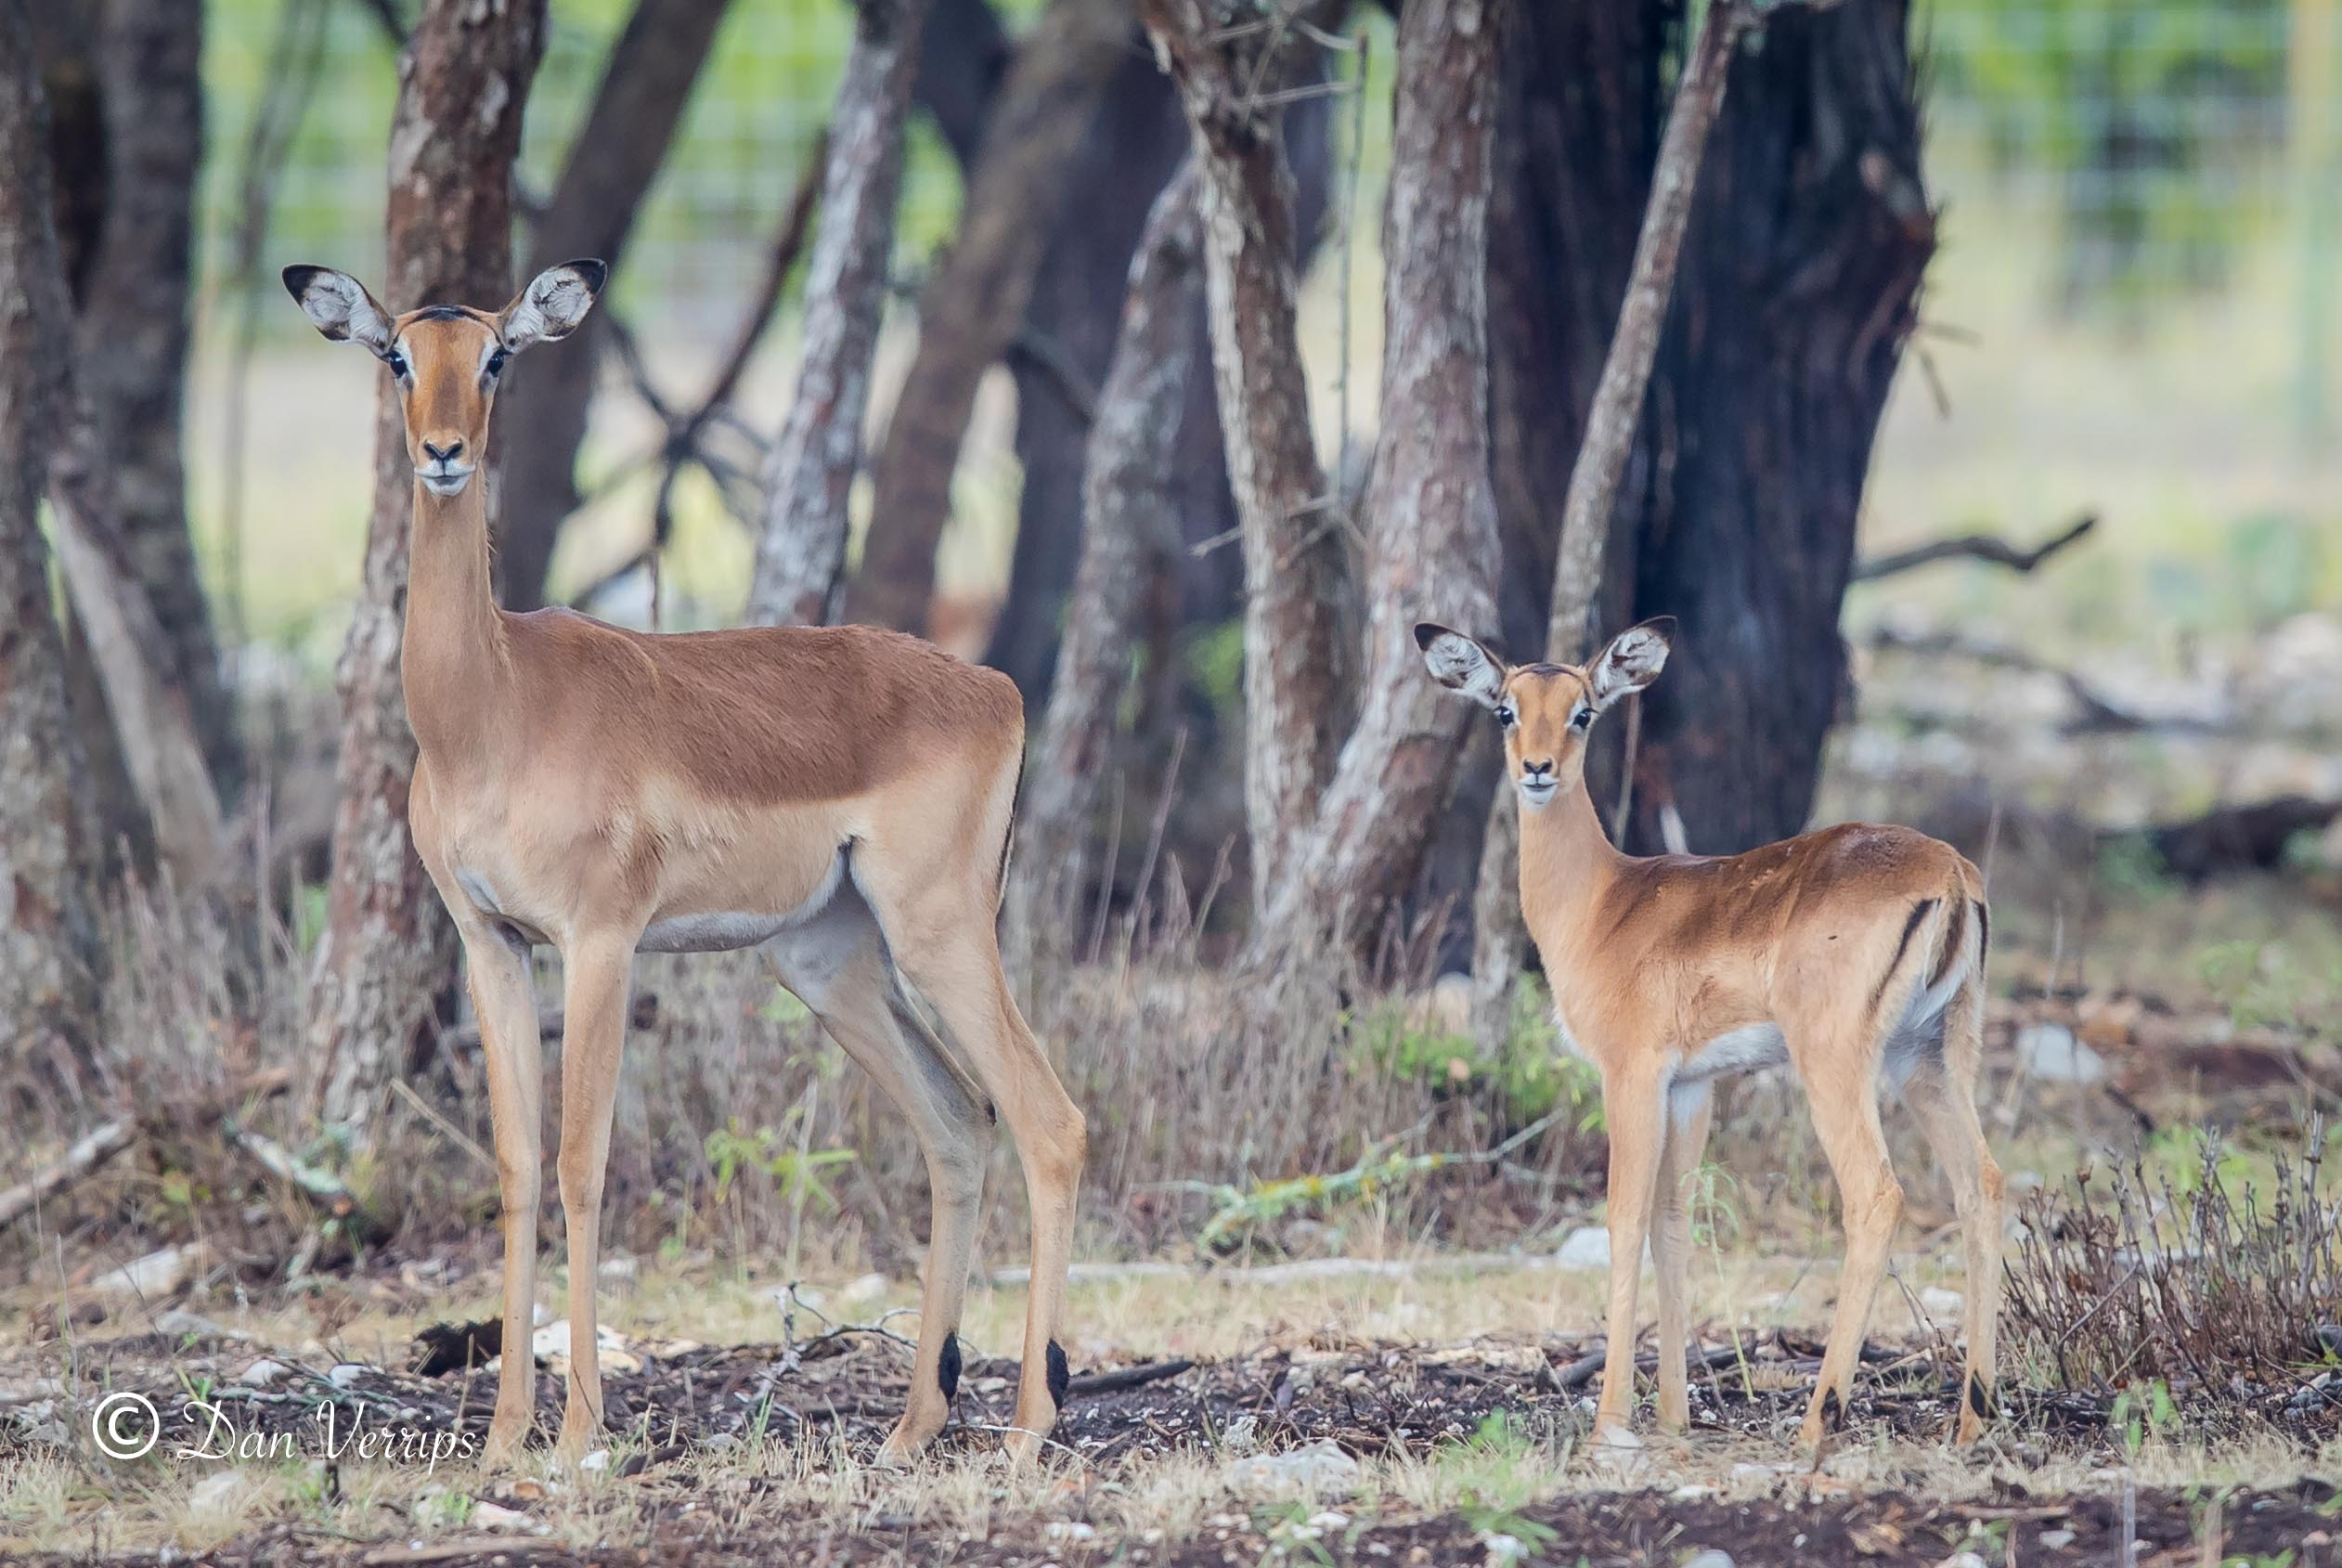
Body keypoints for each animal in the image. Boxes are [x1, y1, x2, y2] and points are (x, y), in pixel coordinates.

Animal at [283, 261, 1085, 1467]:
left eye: (496, 358)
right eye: (396, 357)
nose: (442, 451)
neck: (494, 710)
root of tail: (996, 690)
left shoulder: (602, 943)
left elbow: (582, 1161)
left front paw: (577, 1432)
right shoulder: (492, 943)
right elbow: (518, 1167)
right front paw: (502, 1436)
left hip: (938, 931)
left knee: (1049, 1123)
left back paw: (1029, 1429)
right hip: (829, 962)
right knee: (958, 1124)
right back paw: (911, 1430)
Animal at [1416, 617, 2002, 1450]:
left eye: (1582, 711)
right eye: (1505, 708)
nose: (1537, 769)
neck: (1601, 905)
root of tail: (1950, 871)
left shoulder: (1631, 1072)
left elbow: (1624, 1217)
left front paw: (1611, 1419)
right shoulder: (1692, 1084)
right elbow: (1672, 1222)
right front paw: (1671, 1416)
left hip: (1834, 1061)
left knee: (1876, 1194)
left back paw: (1818, 1419)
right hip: (1931, 1058)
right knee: (1981, 1184)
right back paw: (1971, 1417)